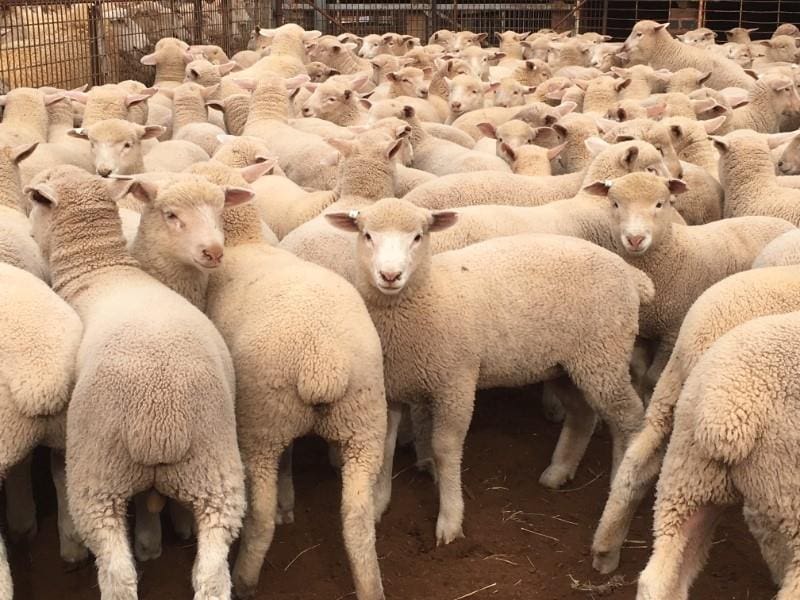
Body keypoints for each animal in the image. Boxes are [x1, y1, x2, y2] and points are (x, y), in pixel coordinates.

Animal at [25, 165, 246, 600]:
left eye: (35, 202)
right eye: (172, 214)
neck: (101, 268)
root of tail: (161, 425)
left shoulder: (64, 435)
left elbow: (58, 474)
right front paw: (152, 540)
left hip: (98, 476)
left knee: (117, 573)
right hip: (215, 468)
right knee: (212, 572)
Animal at [177, 160, 391, 600]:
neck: (244, 243)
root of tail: (322, 363)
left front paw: (284, 505)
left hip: (262, 423)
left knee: (259, 518)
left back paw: (244, 577)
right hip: (362, 423)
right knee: (357, 520)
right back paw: (371, 586)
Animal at [326, 197, 651, 541]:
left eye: (417, 236)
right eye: (367, 235)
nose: (390, 275)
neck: (426, 298)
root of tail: (631, 274)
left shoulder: (456, 381)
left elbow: (445, 449)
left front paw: (450, 520)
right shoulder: (392, 388)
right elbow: (386, 449)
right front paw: (379, 504)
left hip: (604, 355)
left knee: (629, 418)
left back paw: (619, 482)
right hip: (566, 363)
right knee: (583, 414)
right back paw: (559, 472)